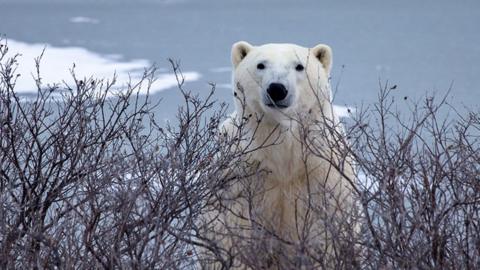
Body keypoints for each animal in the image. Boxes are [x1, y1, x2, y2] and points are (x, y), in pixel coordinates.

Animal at [201, 41, 358, 268]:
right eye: (261, 65)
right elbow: (231, 226)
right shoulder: (239, 172)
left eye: (299, 66)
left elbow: (326, 226)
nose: (277, 89)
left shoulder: (322, 170)